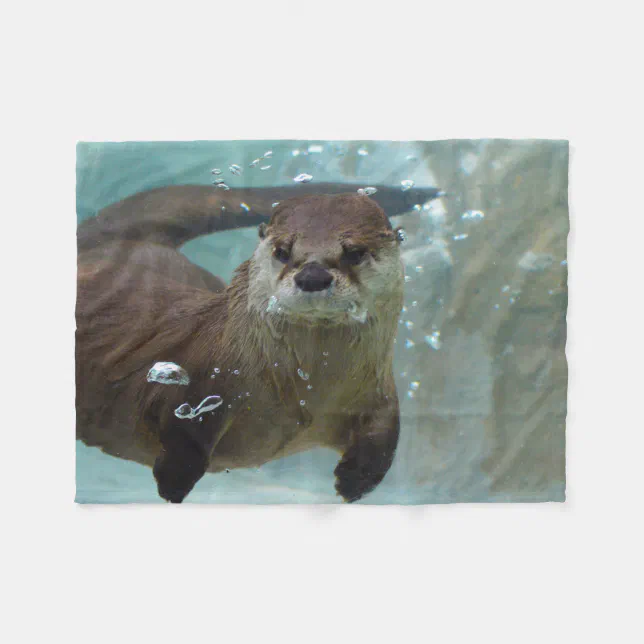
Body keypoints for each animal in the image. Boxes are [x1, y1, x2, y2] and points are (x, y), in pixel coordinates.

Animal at [76, 183, 437, 502]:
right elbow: (185, 430)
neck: (305, 391)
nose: (313, 276)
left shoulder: (377, 391)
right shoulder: (202, 378)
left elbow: (386, 434)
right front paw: (173, 481)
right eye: (282, 251)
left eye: (355, 252)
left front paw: (355, 480)